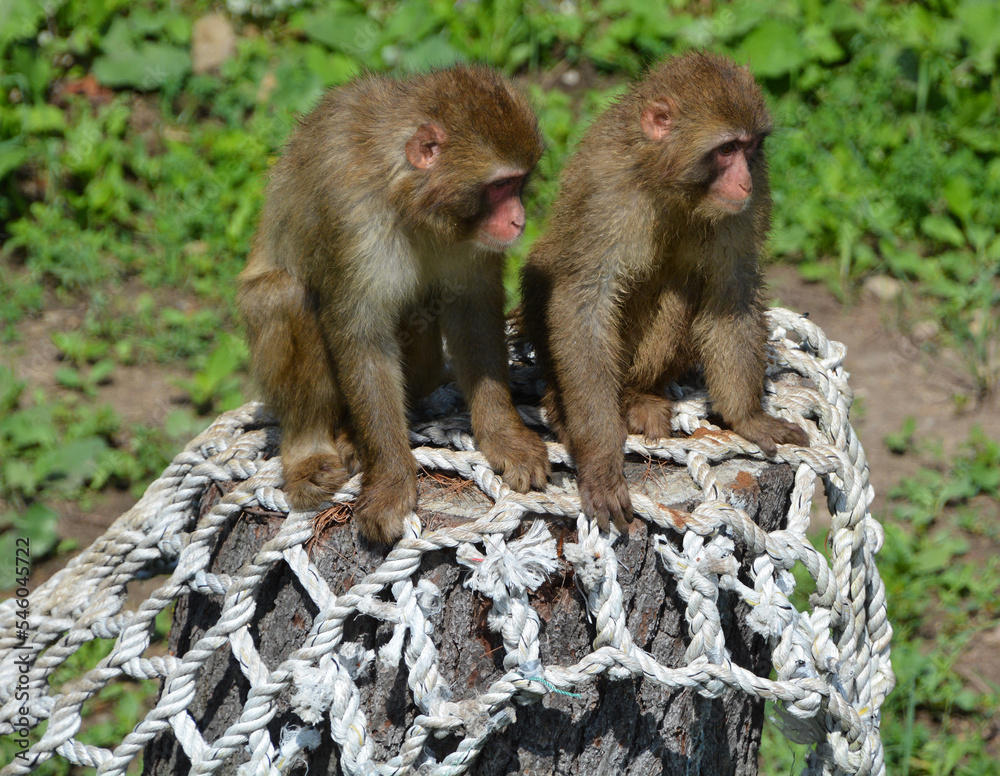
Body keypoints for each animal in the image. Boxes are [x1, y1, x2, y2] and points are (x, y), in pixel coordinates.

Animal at [237, 66, 550, 544]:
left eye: (518, 183)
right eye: (500, 186)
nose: (519, 220)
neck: (405, 195)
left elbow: (472, 308)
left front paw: (503, 434)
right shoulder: (352, 216)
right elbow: (362, 338)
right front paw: (390, 481)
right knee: (280, 295)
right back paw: (313, 449)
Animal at [521, 52, 808, 533]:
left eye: (750, 147)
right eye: (726, 149)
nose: (744, 182)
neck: (671, 187)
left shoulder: (745, 205)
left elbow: (732, 290)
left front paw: (748, 417)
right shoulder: (608, 194)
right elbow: (585, 302)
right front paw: (601, 462)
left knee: (681, 284)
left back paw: (640, 394)